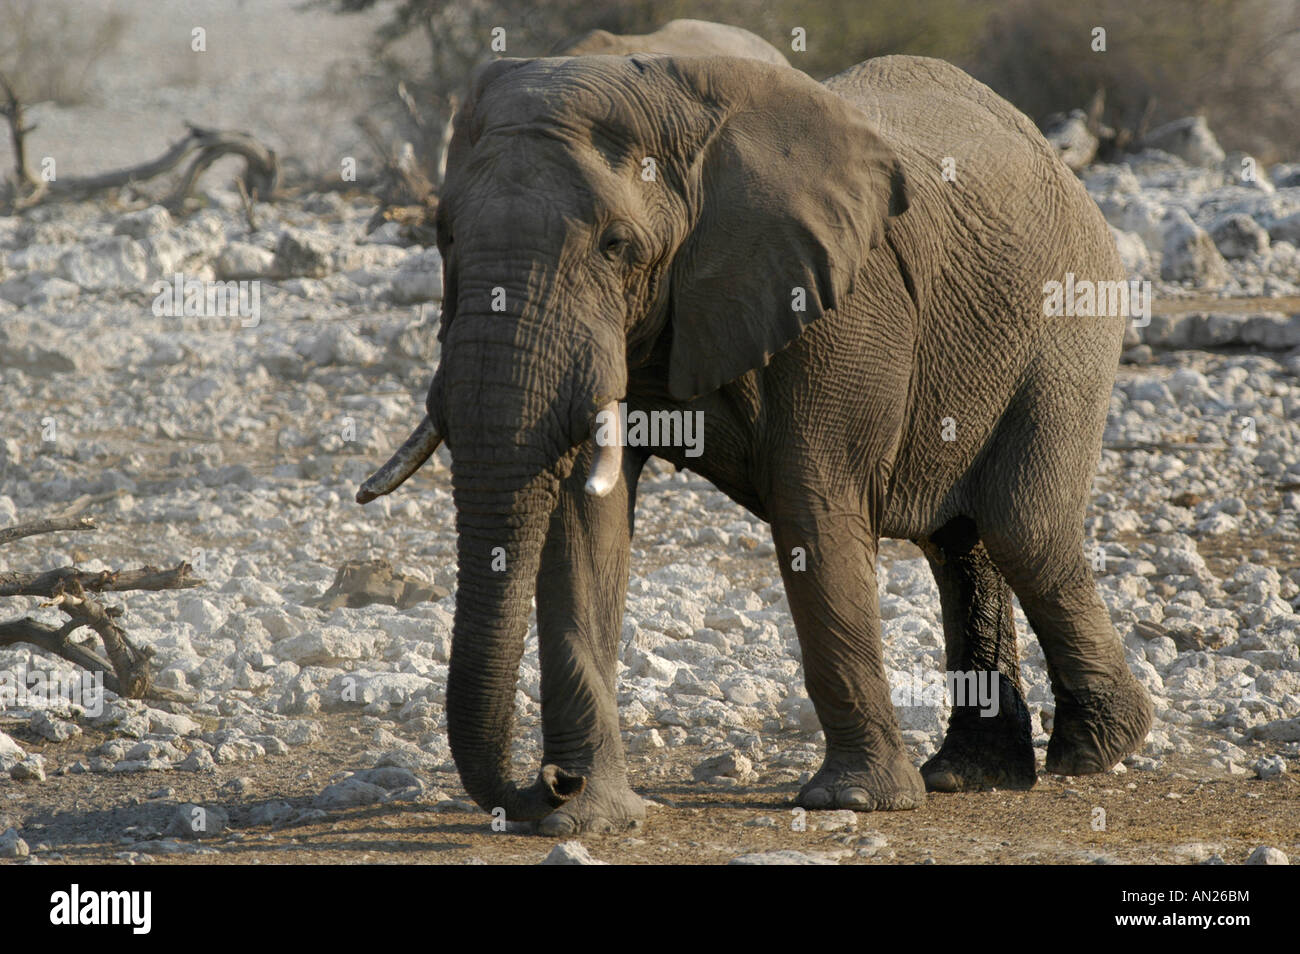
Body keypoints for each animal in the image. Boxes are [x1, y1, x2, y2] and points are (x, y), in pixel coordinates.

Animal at [357, 52, 1154, 835]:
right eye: (443, 237)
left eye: (617, 246)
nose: (549, 781)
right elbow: (586, 524)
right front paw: (589, 818)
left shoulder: (843, 307)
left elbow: (812, 504)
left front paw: (852, 802)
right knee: (961, 542)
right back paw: (971, 774)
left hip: (1073, 319)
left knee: (1023, 527)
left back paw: (1096, 750)